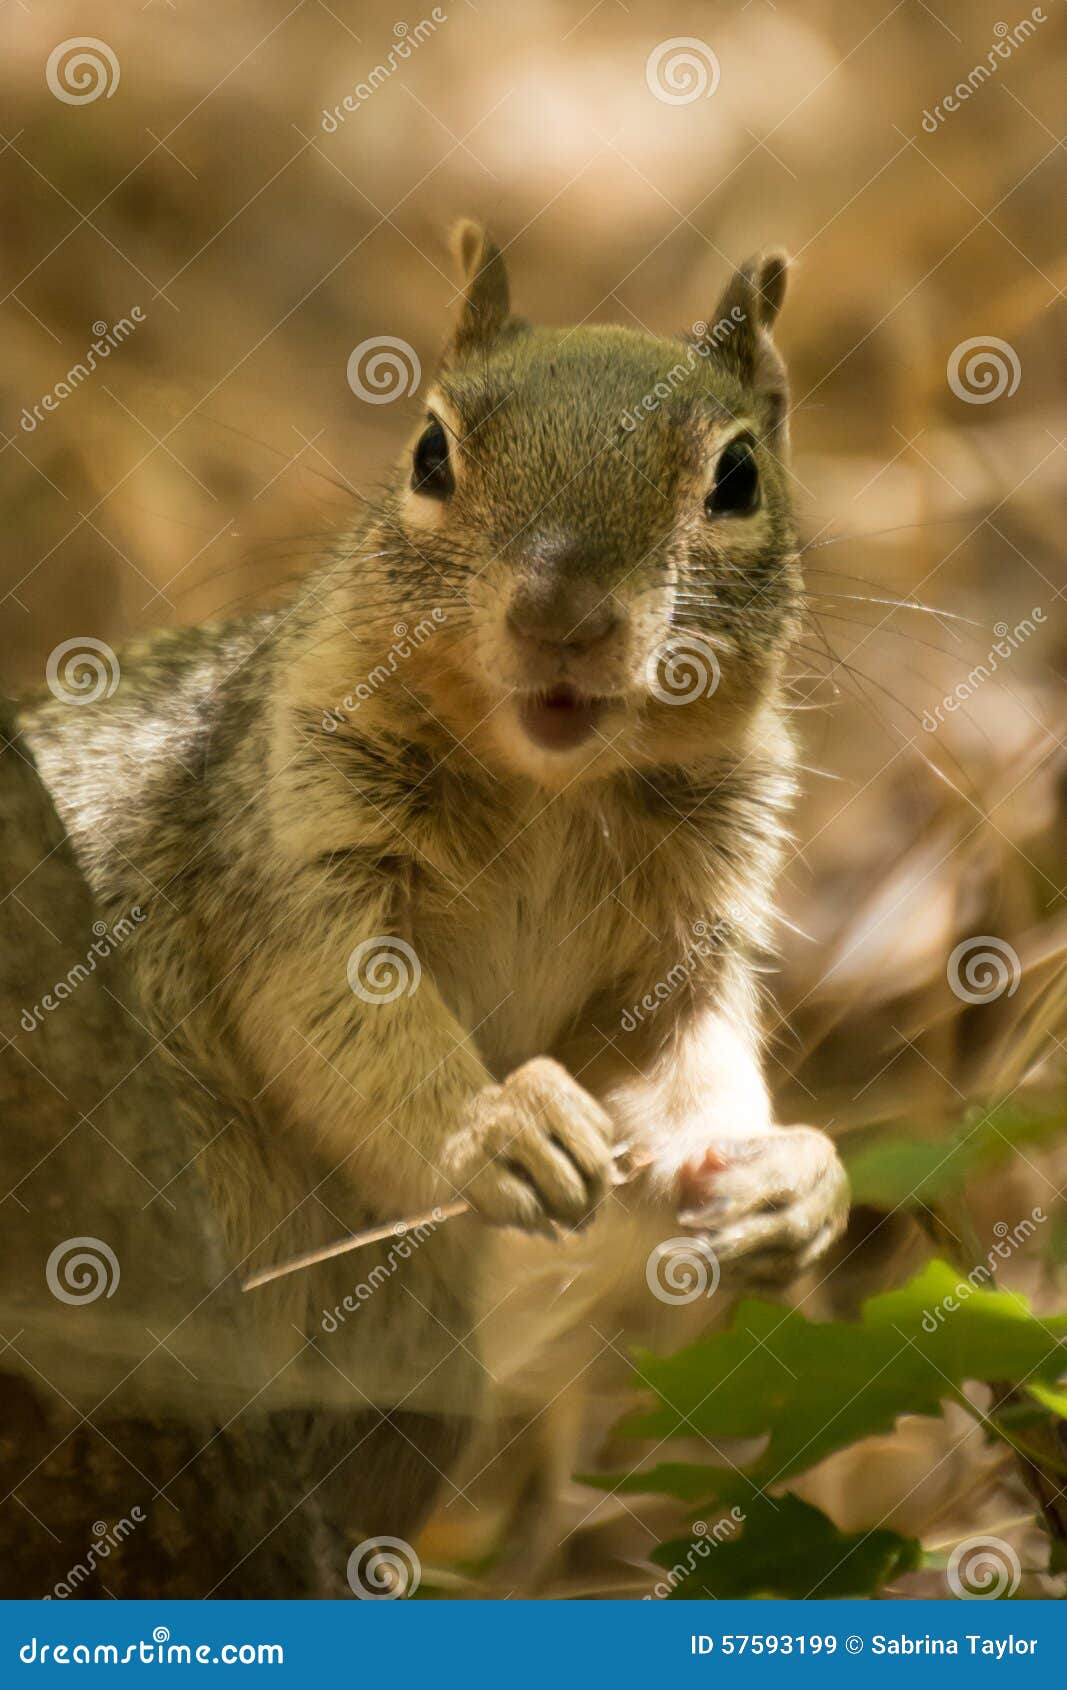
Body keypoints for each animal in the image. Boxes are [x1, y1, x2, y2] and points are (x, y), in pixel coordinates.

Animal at [16, 222, 849, 1582]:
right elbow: (336, 1021)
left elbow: (675, 1065)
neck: (551, 787)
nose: (561, 615)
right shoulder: (295, 850)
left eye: (737, 477)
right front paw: (495, 1127)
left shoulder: (679, 942)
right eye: (427, 451)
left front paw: (785, 1176)